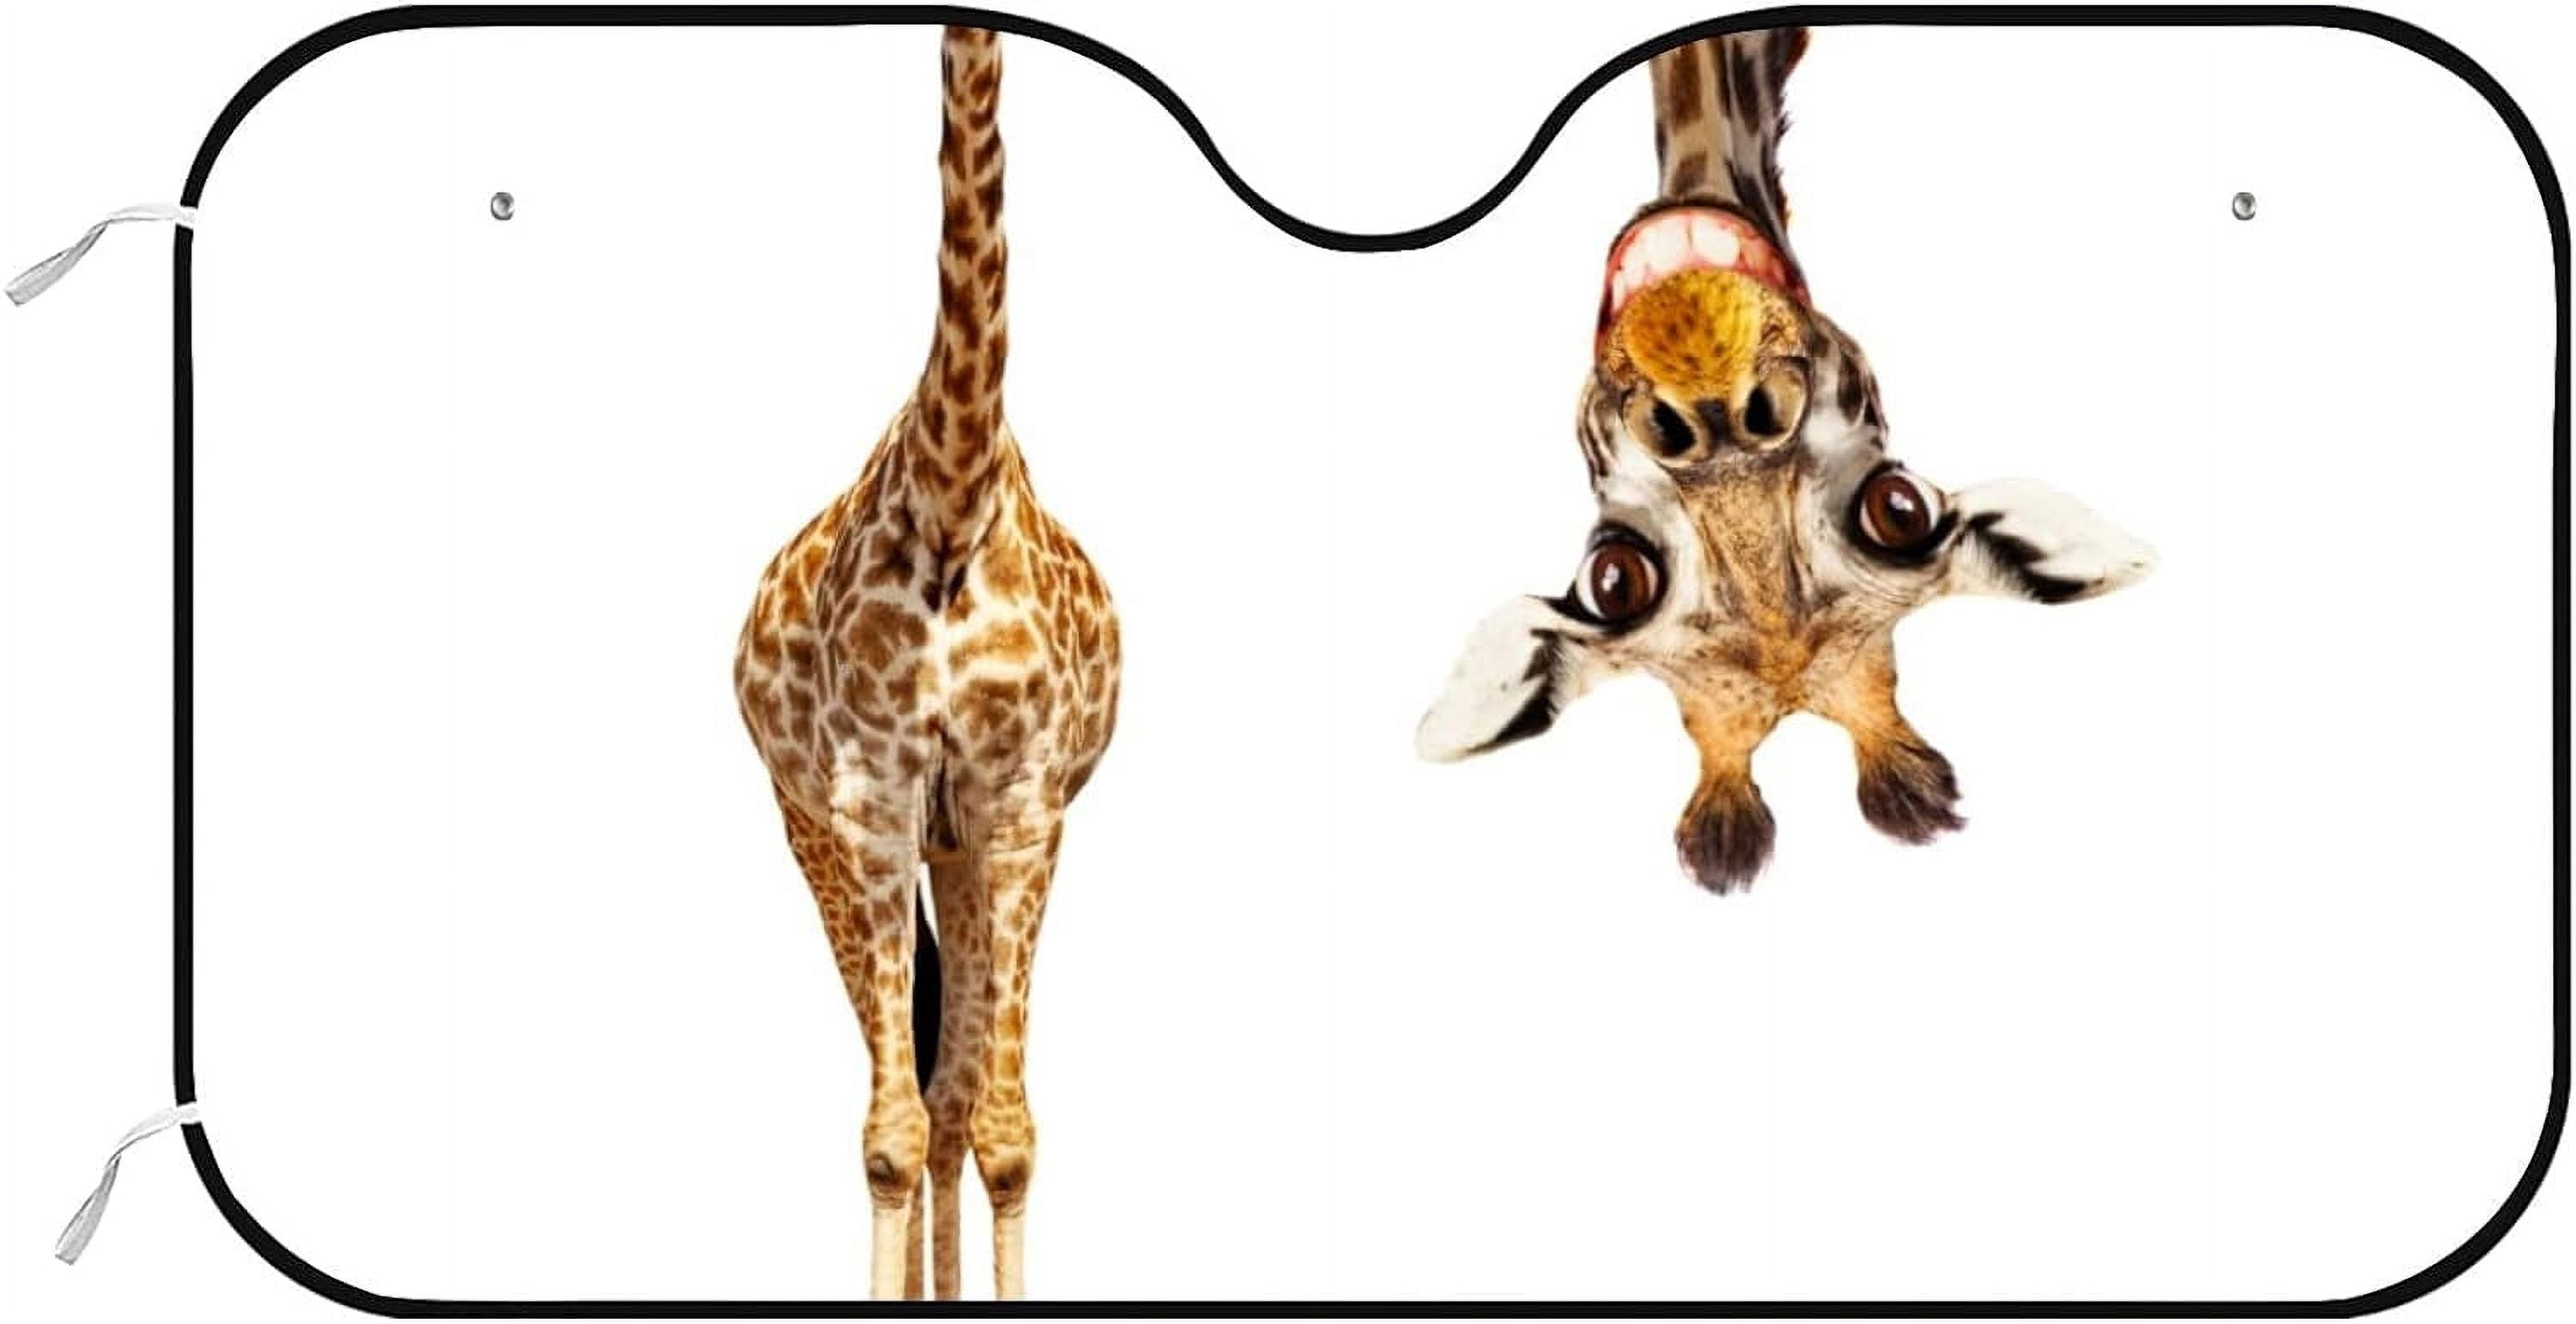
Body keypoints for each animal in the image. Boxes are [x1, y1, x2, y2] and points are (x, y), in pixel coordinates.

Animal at [733, 25, 1118, 1300]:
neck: (954, 494)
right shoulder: (870, 797)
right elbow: (890, 1136)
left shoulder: (1021, 801)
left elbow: (998, 1129)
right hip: (814, 824)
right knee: (905, 1092)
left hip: (957, 844)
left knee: (950, 1098)